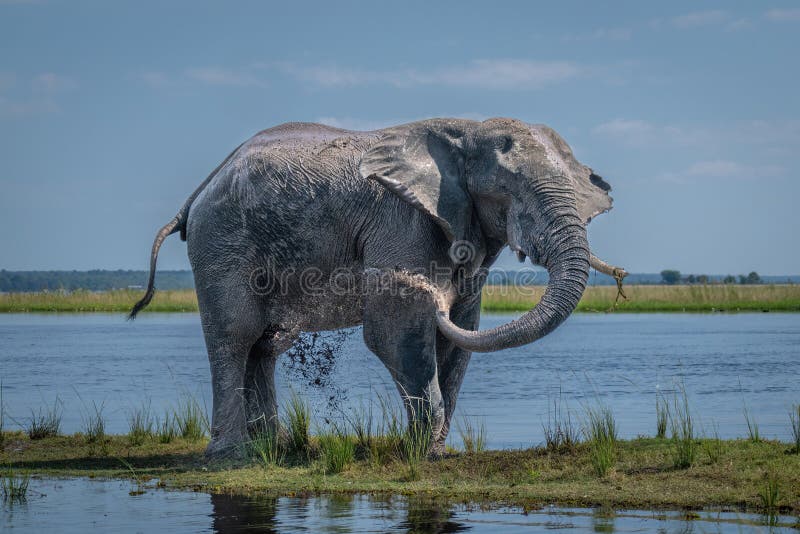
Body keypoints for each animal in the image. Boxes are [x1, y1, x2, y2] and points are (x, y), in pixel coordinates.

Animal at [130, 118, 626, 457]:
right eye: (507, 190)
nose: (430, 292)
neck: (465, 131)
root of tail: (197, 194)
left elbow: (460, 334)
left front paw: (435, 450)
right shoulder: (402, 221)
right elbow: (396, 328)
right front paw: (422, 451)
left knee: (265, 345)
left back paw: (276, 446)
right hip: (223, 241)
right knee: (236, 334)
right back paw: (233, 455)